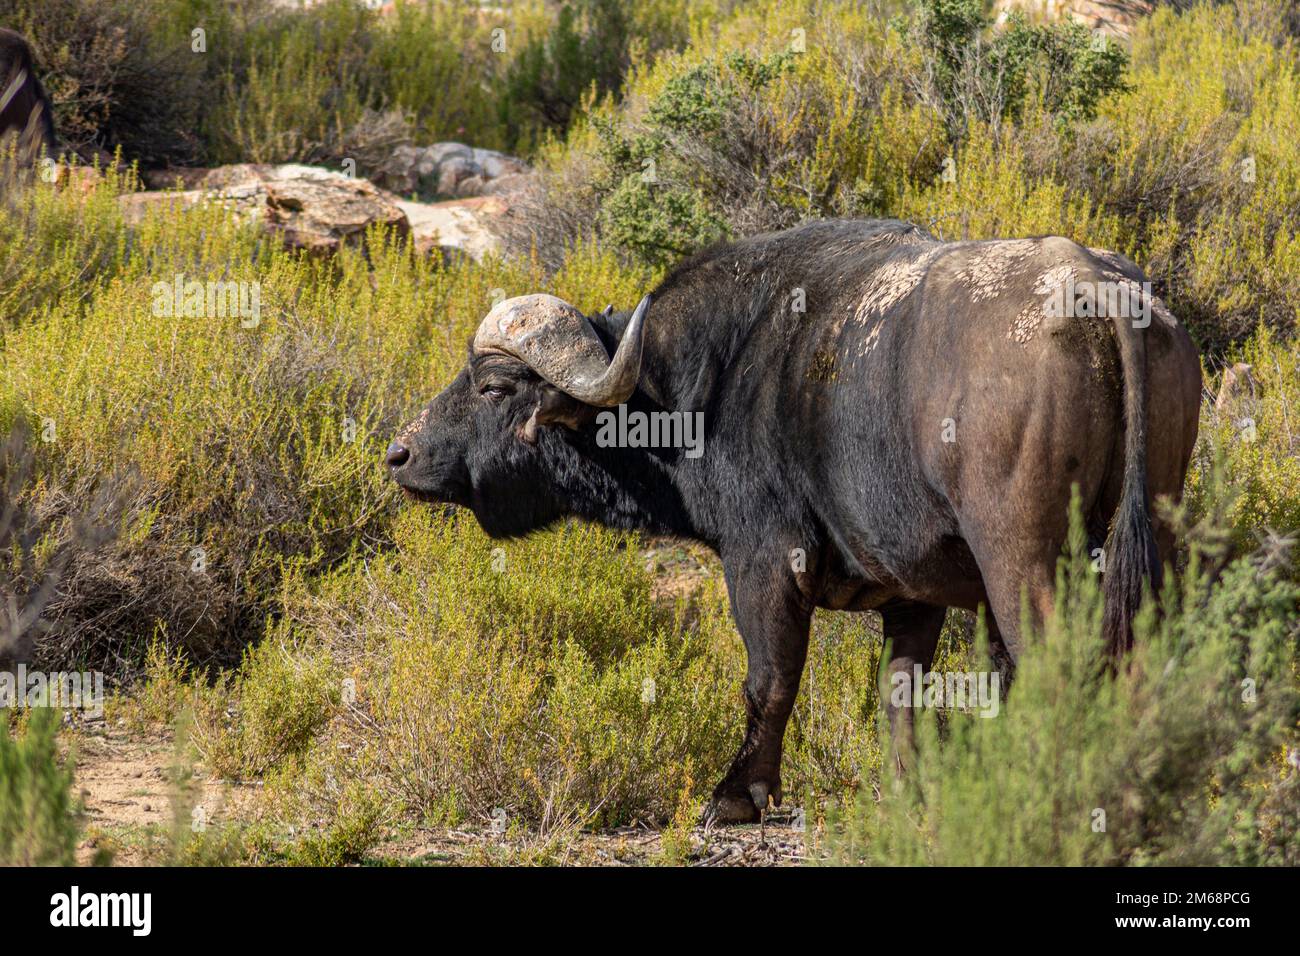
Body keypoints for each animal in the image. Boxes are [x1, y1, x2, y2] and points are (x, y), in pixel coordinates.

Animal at [389, 219, 1202, 823]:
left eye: (494, 386)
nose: (401, 454)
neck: (695, 387)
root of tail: (1094, 289)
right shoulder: (914, 595)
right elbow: (901, 690)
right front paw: (906, 790)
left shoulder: (762, 563)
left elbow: (769, 678)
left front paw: (737, 795)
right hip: (1148, 545)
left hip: (1023, 561)